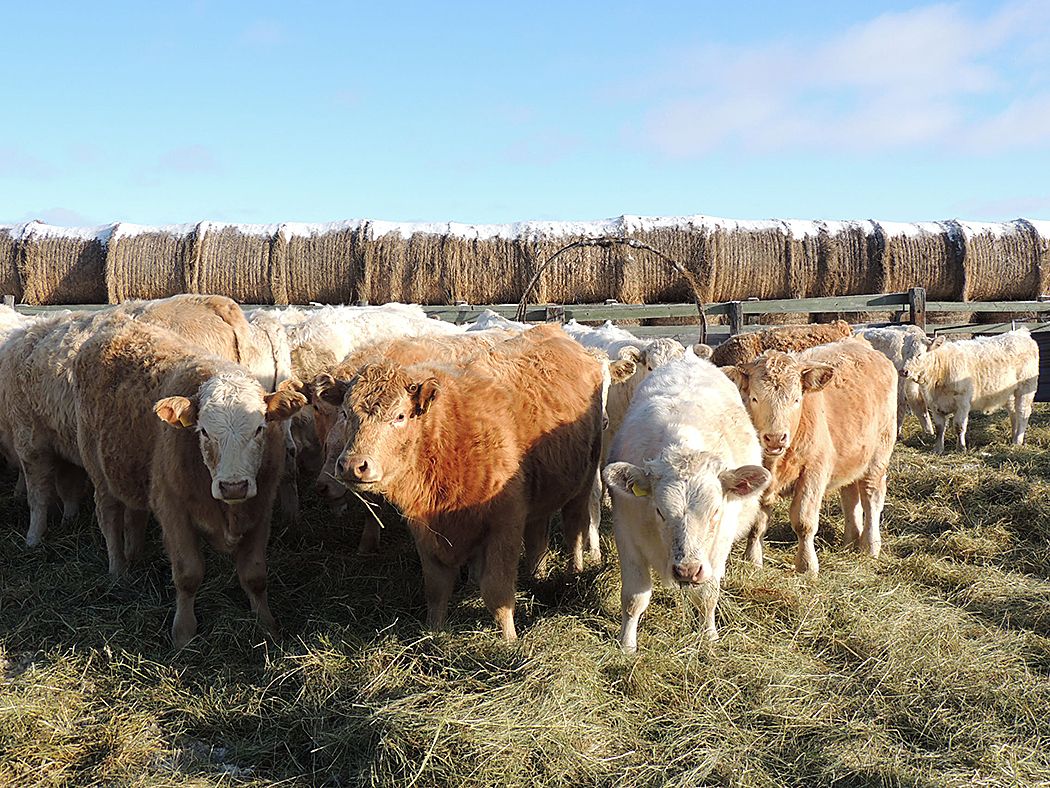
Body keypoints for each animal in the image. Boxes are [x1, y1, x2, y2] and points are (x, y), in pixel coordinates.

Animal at [71, 313, 305, 648]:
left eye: (259, 428)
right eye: (204, 431)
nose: (233, 486)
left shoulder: (261, 509)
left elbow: (255, 576)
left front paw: (266, 625)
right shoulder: (173, 509)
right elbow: (188, 575)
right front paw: (183, 633)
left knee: (135, 514)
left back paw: (135, 555)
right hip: (98, 470)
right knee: (110, 517)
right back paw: (119, 571)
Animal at [323, 324, 606, 640]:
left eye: (399, 416)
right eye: (345, 412)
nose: (353, 465)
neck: (448, 437)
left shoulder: (504, 523)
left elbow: (496, 590)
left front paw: (509, 639)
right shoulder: (426, 531)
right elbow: (436, 589)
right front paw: (434, 633)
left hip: (582, 485)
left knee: (574, 530)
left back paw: (574, 572)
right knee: (537, 538)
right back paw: (536, 576)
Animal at [603, 349, 770, 650]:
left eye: (715, 511)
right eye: (659, 511)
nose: (687, 570)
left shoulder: (719, 543)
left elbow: (707, 595)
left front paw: (709, 635)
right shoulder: (627, 536)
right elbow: (634, 598)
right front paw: (627, 644)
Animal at [724, 338, 897, 575]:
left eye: (796, 400)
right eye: (754, 398)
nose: (775, 438)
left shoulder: (814, 471)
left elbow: (803, 521)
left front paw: (807, 565)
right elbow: (756, 525)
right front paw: (752, 561)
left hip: (878, 457)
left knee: (872, 500)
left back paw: (870, 547)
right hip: (851, 459)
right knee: (850, 498)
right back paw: (850, 542)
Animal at [901, 328, 1039, 453]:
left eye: (919, 354)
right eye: (903, 353)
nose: (904, 371)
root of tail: (1020, 332)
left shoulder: (962, 402)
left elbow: (959, 426)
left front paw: (961, 448)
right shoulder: (935, 405)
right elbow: (940, 428)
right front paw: (938, 449)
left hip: (1026, 388)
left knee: (1023, 413)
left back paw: (1017, 441)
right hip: (1009, 393)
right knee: (1013, 413)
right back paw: (1013, 437)